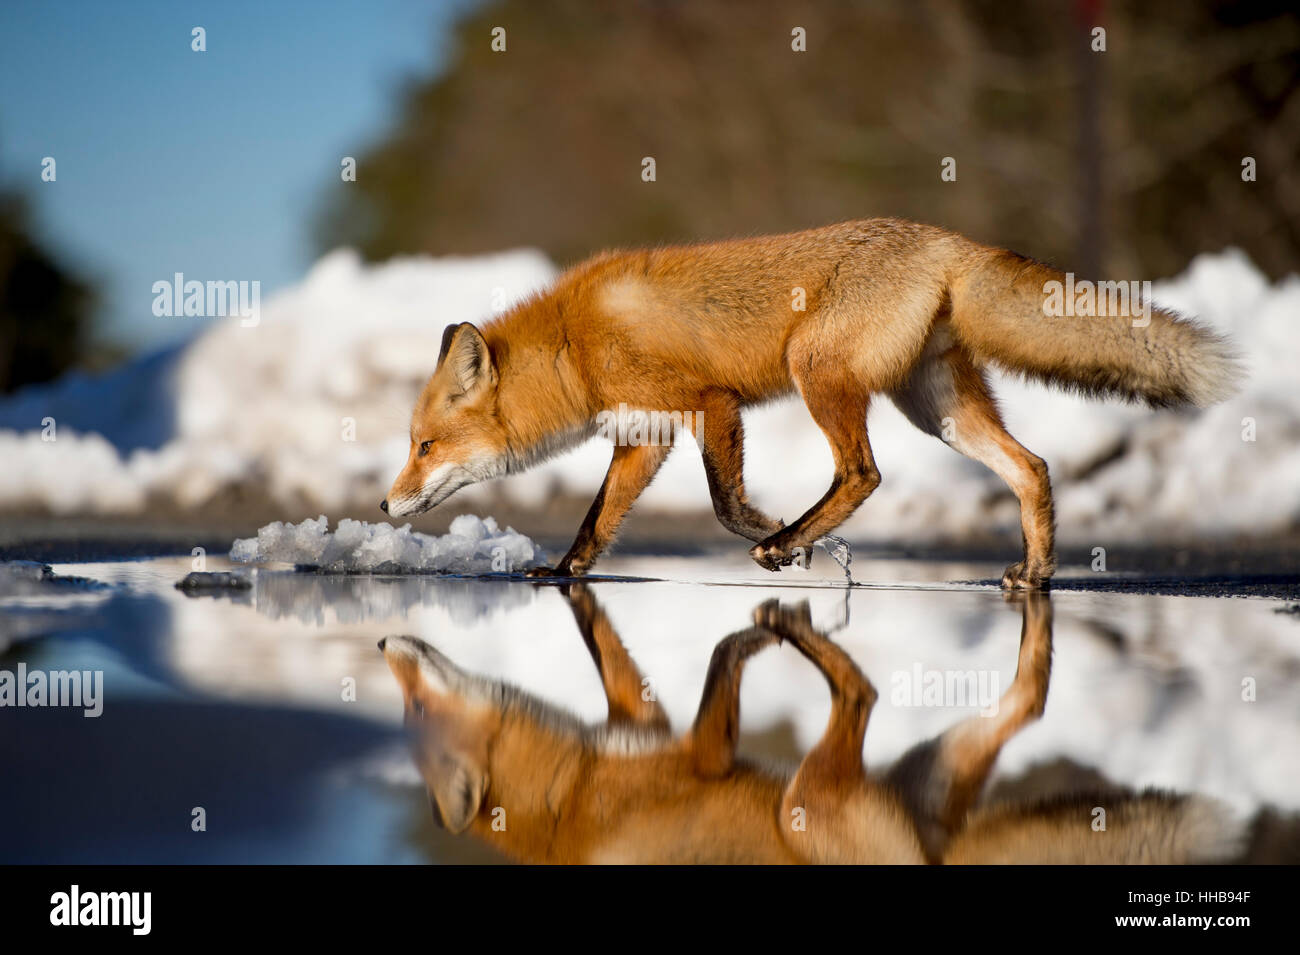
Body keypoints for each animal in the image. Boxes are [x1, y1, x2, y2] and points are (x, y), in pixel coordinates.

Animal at [379, 583, 1241, 864]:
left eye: (415, 707)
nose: (384, 643)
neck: (572, 793)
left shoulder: (696, 748)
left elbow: (719, 671)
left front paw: (750, 639)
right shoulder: (655, 726)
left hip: (808, 802)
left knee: (863, 691)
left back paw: (790, 620)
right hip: (912, 774)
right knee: (1008, 703)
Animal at [382, 218, 1239, 587]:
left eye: (424, 446)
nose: (386, 505)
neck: (573, 342)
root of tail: (946, 238)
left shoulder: (709, 403)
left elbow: (725, 504)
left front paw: (779, 533)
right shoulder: (645, 435)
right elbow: (597, 521)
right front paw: (563, 571)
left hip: (817, 371)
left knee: (863, 473)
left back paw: (792, 539)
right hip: (936, 408)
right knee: (1031, 467)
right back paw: (1034, 574)